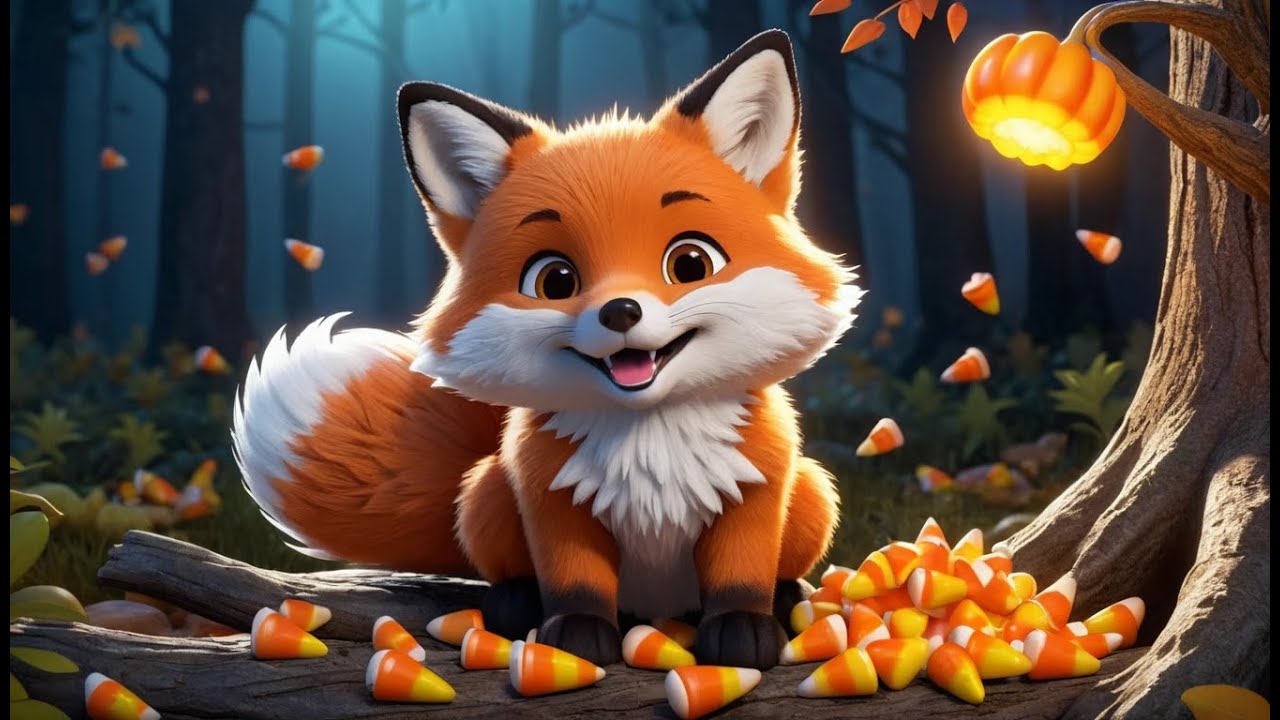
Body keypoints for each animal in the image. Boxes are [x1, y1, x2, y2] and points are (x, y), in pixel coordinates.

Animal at [232, 29, 863, 670]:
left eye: (690, 263)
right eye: (555, 279)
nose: (620, 312)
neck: (649, 441)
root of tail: (660, 608)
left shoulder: (754, 490)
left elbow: (741, 574)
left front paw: (743, 631)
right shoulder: (552, 500)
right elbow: (575, 581)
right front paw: (574, 637)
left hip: (813, 490)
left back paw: (788, 596)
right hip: (485, 491)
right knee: (508, 570)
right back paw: (515, 603)